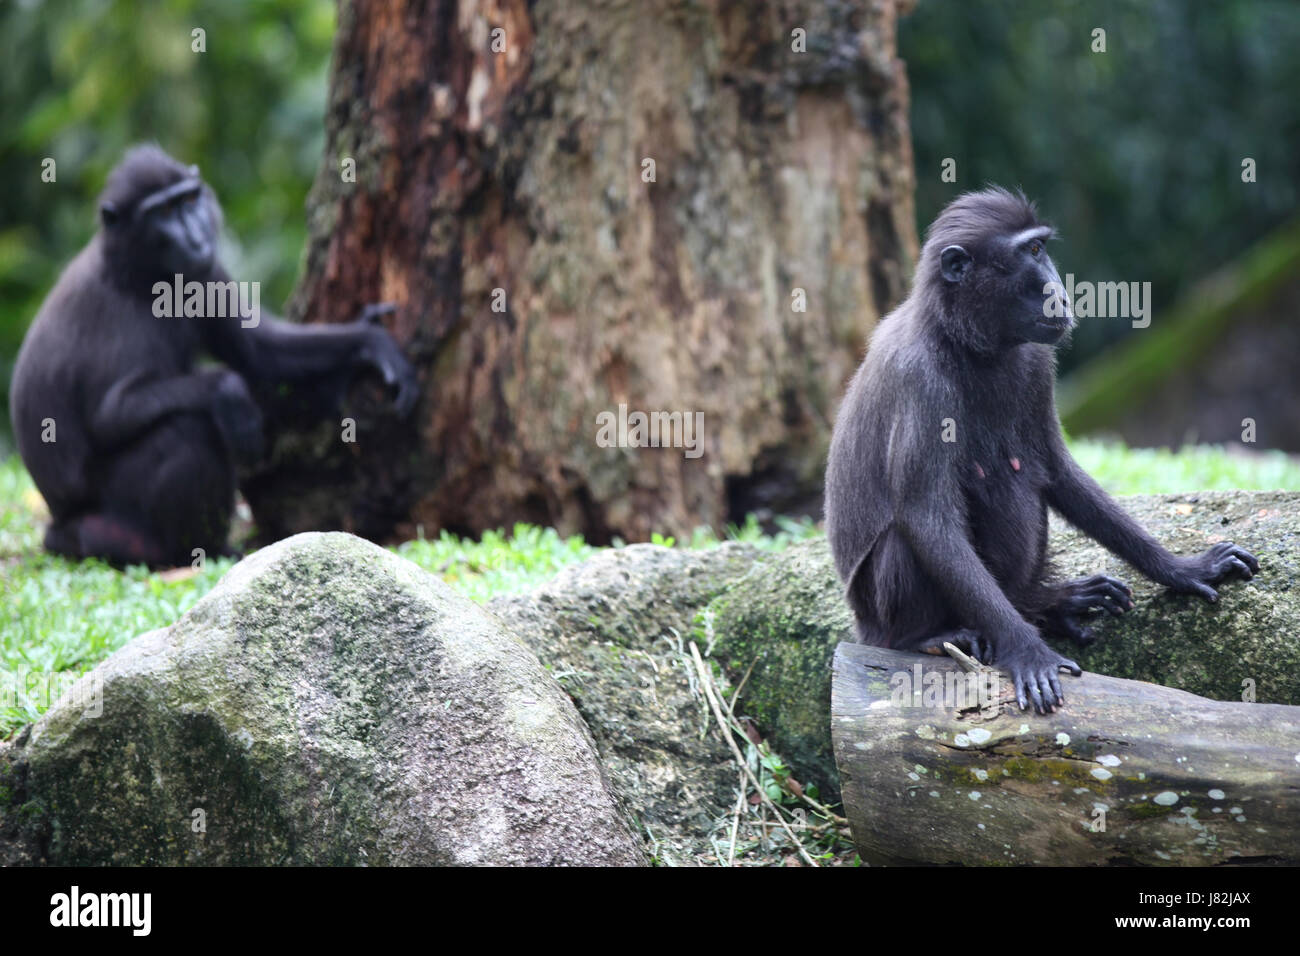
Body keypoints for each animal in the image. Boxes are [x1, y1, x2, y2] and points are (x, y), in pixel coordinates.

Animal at [9, 144, 419, 568]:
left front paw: (372, 341)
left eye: (189, 200)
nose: (195, 234)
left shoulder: (204, 275)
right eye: (163, 212)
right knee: (188, 428)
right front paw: (229, 391)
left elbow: (258, 349)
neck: (141, 275)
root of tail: (62, 515)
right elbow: (109, 416)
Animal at [824, 187, 1258, 714]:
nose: (1060, 292)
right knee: (910, 538)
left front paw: (1181, 568)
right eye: (1031, 252)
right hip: (880, 619)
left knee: (1015, 474)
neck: (964, 339)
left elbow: (1057, 470)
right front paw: (1028, 650)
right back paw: (931, 636)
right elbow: (926, 516)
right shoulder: (919, 378)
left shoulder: (1035, 358)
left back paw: (1046, 604)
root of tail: (863, 627)